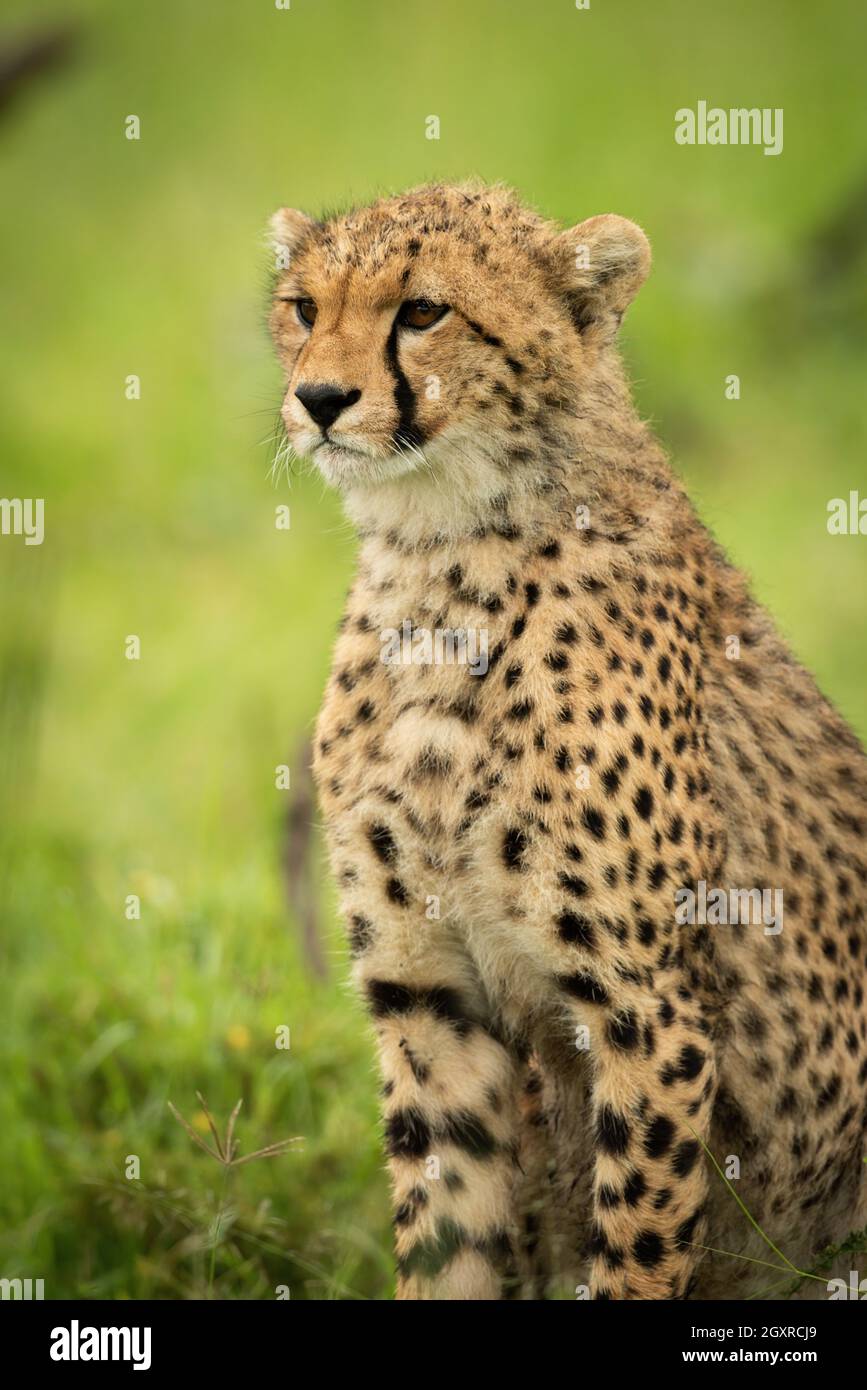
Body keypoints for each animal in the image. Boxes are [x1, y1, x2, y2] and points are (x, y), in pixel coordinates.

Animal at [267, 180, 867, 1300]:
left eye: (423, 311)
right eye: (303, 307)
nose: (319, 398)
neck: (440, 560)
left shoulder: (650, 1008)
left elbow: (635, 1244)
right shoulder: (429, 994)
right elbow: (445, 1234)